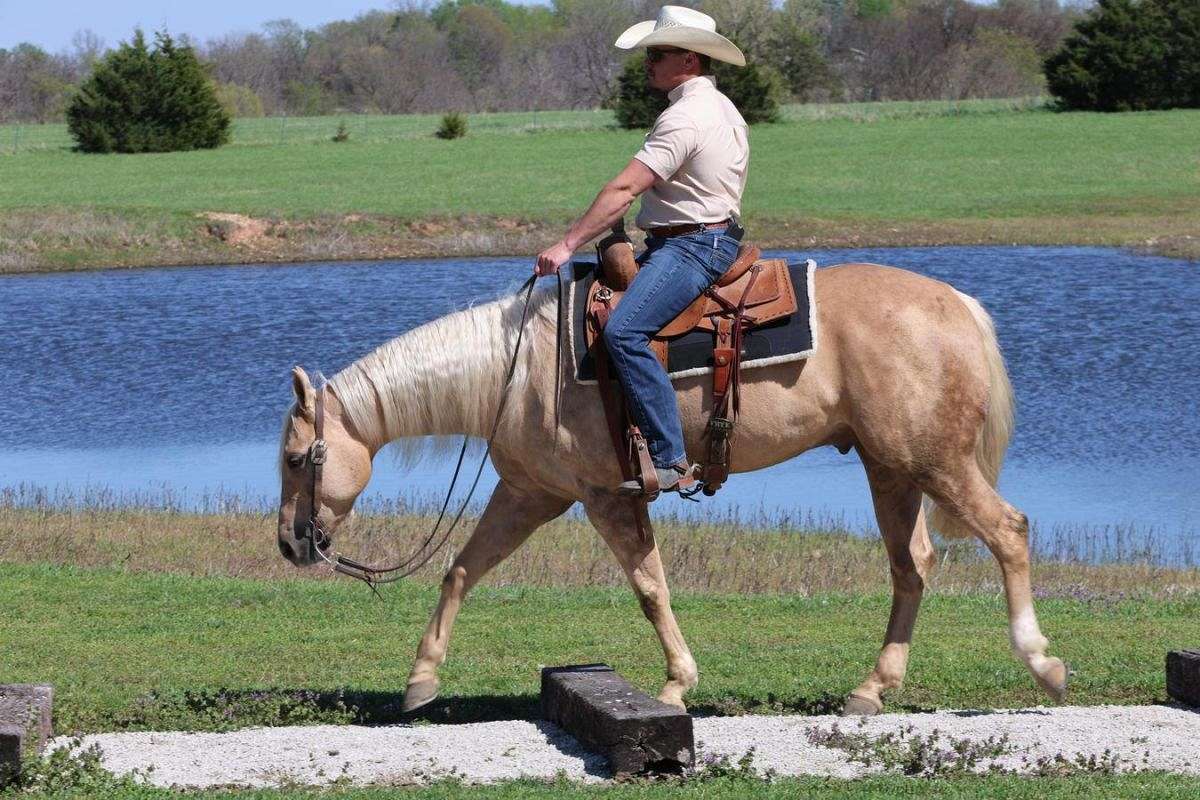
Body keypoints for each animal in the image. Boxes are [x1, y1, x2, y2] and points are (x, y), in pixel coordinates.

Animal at [275, 261, 1069, 716]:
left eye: (295, 458)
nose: (291, 542)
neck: (515, 371)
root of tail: (959, 303)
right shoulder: (531, 495)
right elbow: (462, 571)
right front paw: (421, 680)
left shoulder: (608, 495)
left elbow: (650, 587)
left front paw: (677, 682)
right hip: (891, 469)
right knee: (913, 567)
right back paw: (870, 690)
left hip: (934, 464)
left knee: (1008, 532)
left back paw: (1044, 665)